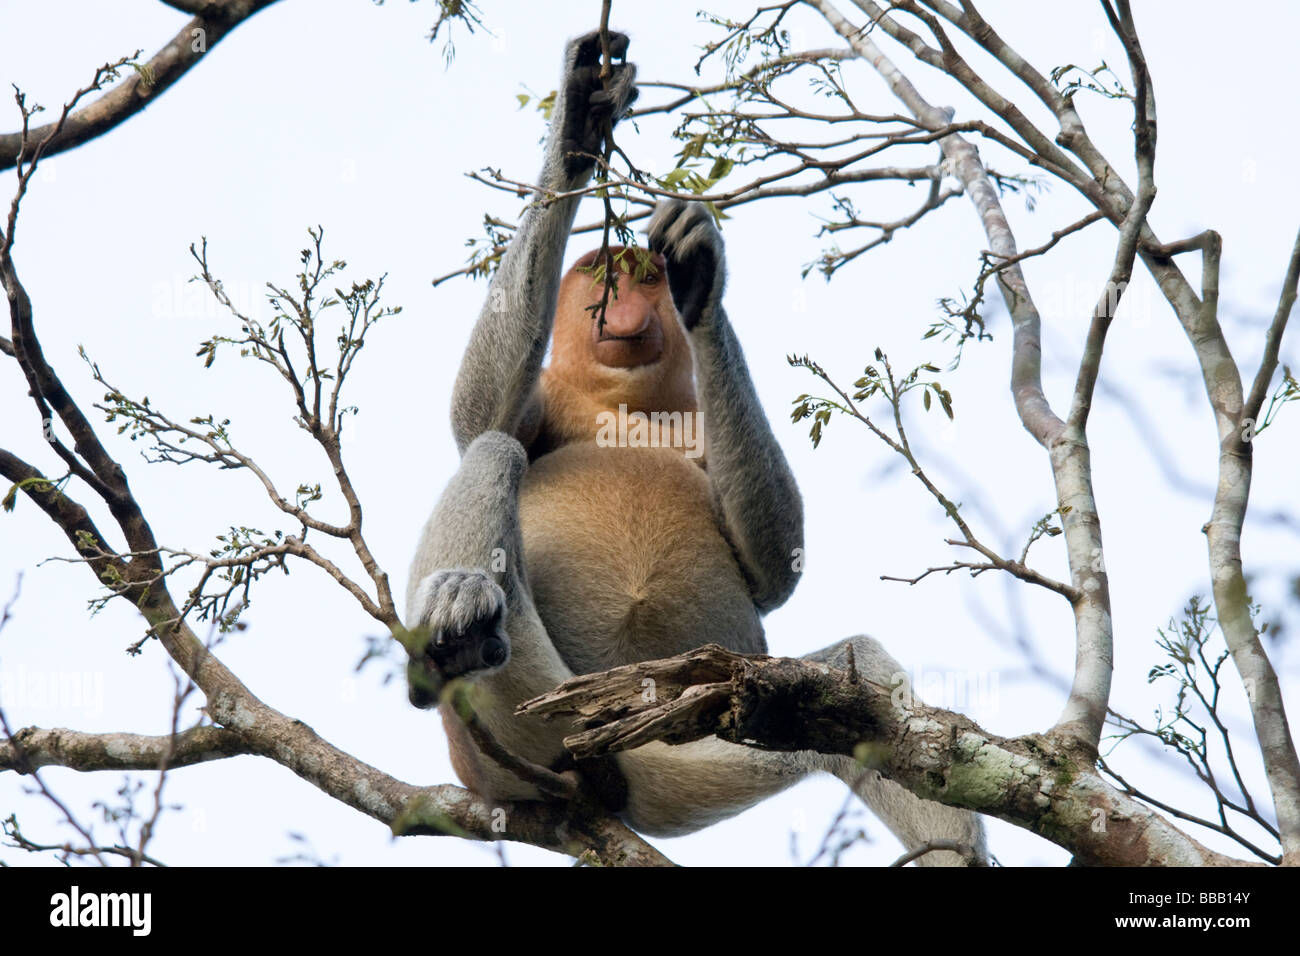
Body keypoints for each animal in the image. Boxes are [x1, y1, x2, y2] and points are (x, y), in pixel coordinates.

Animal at [404, 30, 987, 865]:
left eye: (644, 276)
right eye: (602, 272)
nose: (627, 304)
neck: (625, 401)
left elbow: (773, 568)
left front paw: (697, 268)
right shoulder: (545, 398)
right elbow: (482, 416)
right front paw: (579, 118)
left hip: (701, 727)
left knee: (854, 686)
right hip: (507, 727)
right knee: (493, 452)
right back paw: (457, 622)